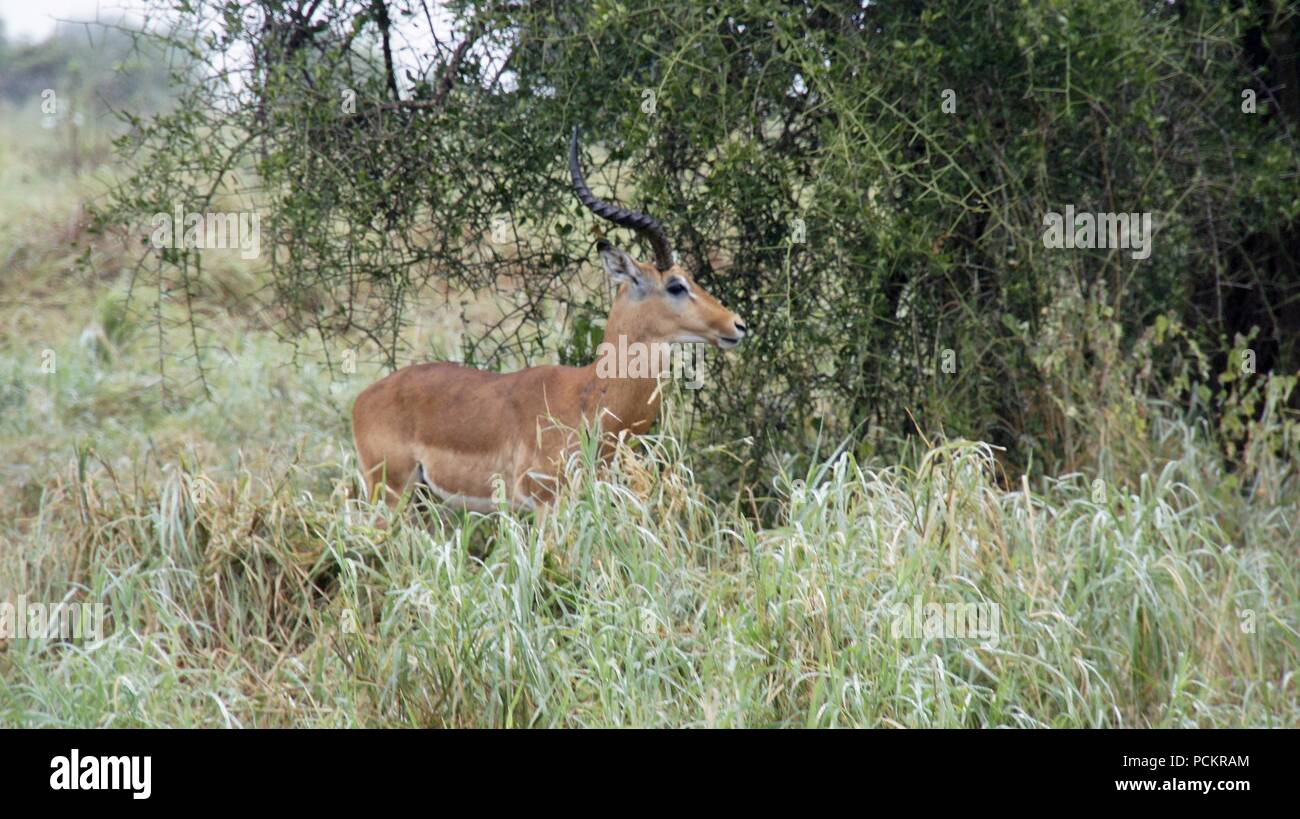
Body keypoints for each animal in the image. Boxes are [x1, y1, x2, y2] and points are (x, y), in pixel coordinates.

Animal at [350, 129, 747, 514]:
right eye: (676, 285)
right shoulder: (544, 505)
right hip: (391, 495)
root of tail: (363, 399)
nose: (737, 324)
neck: (590, 395)